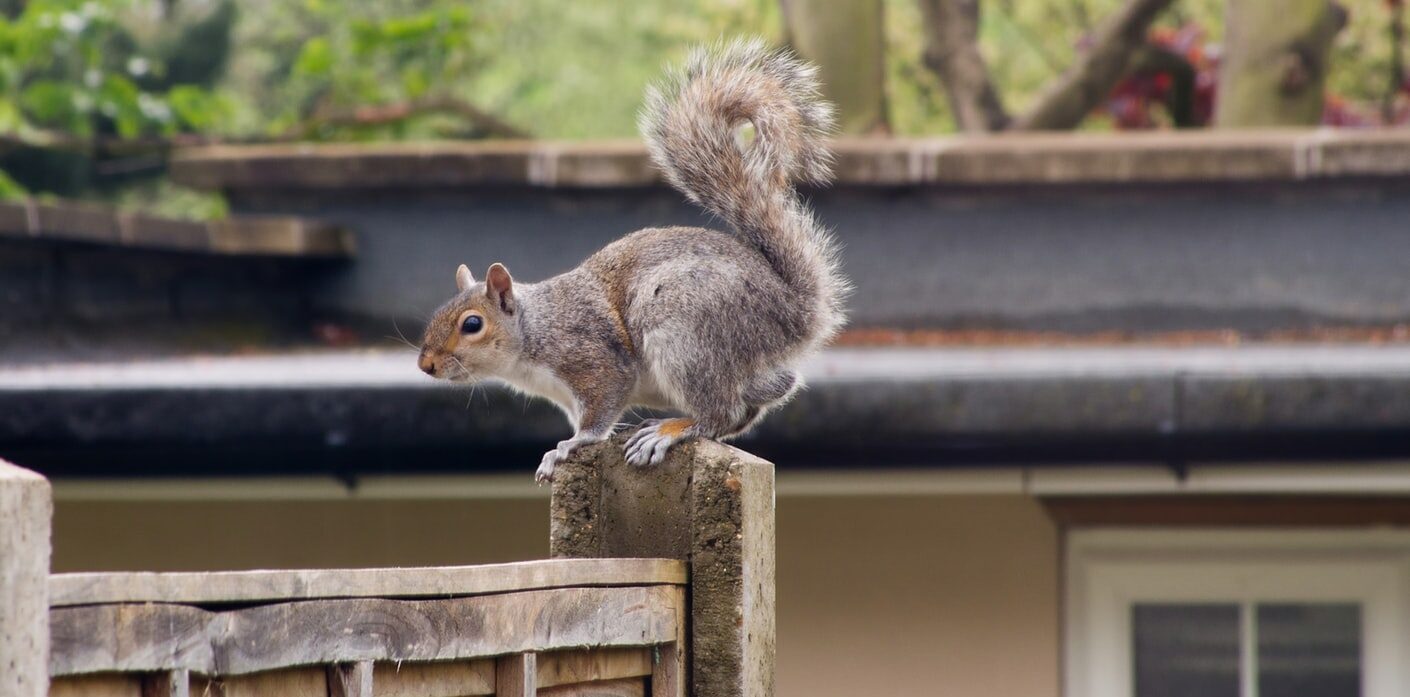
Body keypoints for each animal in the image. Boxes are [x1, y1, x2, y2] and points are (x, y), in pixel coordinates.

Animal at [417, 39, 848, 483]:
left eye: (472, 324)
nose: (426, 364)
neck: (535, 330)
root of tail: (793, 312)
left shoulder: (594, 361)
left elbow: (598, 415)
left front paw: (570, 445)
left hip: (686, 330)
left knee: (721, 412)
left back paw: (670, 430)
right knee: (763, 396)